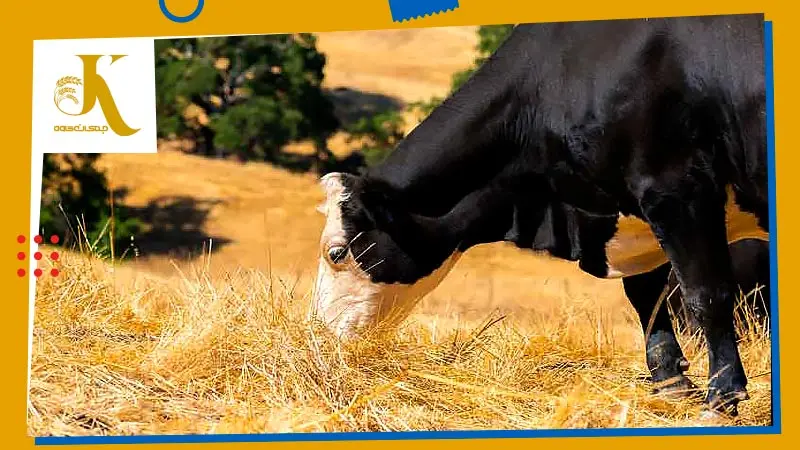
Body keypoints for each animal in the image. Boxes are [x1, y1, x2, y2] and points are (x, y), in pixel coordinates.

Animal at [311, 14, 770, 420]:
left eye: (337, 253)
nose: (319, 338)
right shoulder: (631, 211)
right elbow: (647, 298)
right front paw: (671, 385)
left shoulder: (677, 188)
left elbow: (706, 295)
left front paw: (720, 402)